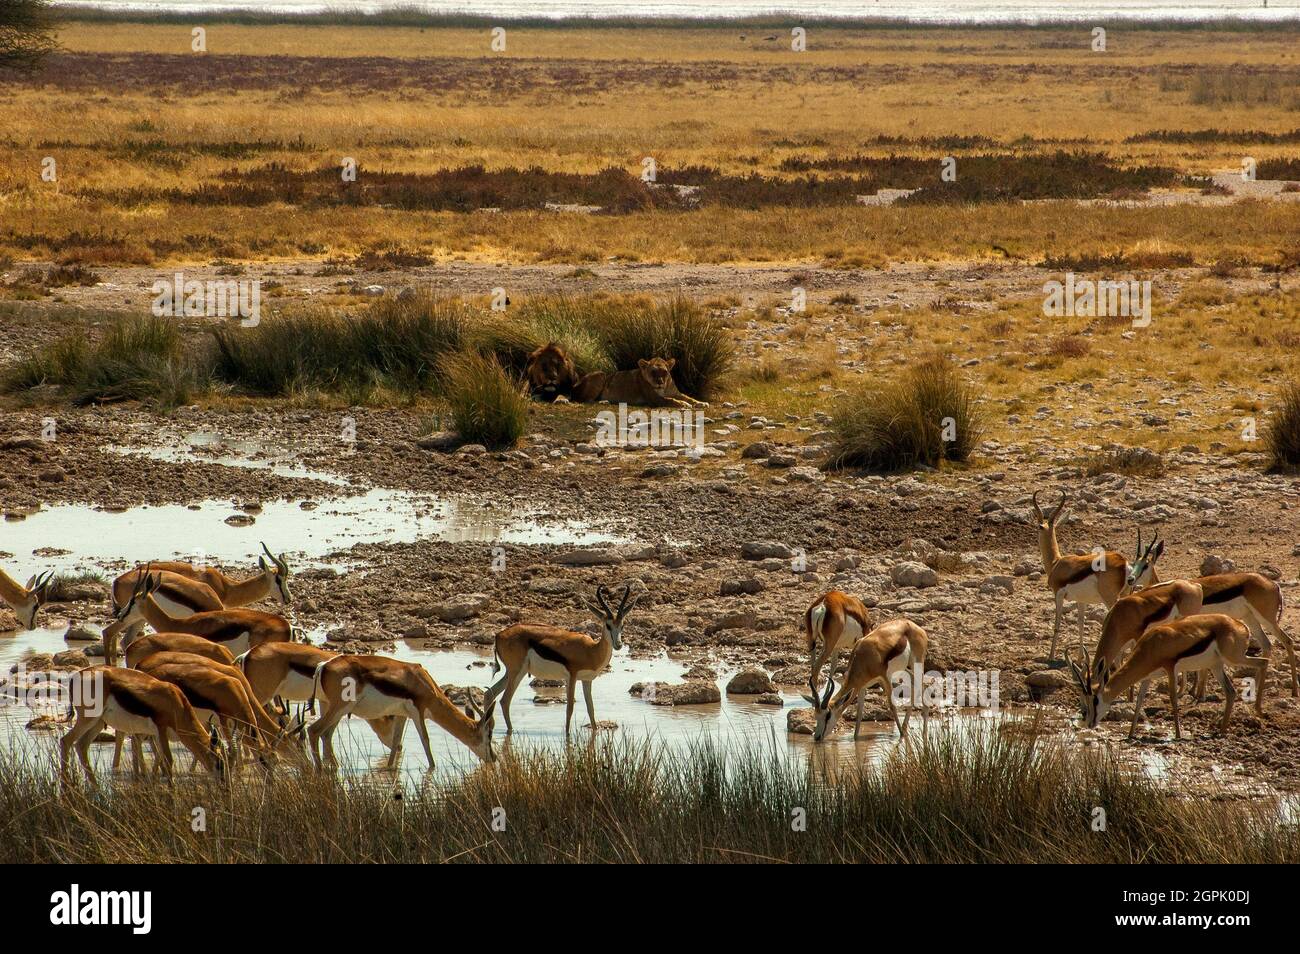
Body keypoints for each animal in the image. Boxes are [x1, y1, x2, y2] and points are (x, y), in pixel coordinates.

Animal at [574, 357, 707, 408]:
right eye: (653, 372)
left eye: (664, 372)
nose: (659, 382)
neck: (664, 388)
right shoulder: (655, 399)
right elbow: (671, 400)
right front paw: (684, 404)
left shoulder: (676, 393)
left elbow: (689, 397)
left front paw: (701, 403)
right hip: (601, 374)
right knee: (585, 399)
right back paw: (603, 402)